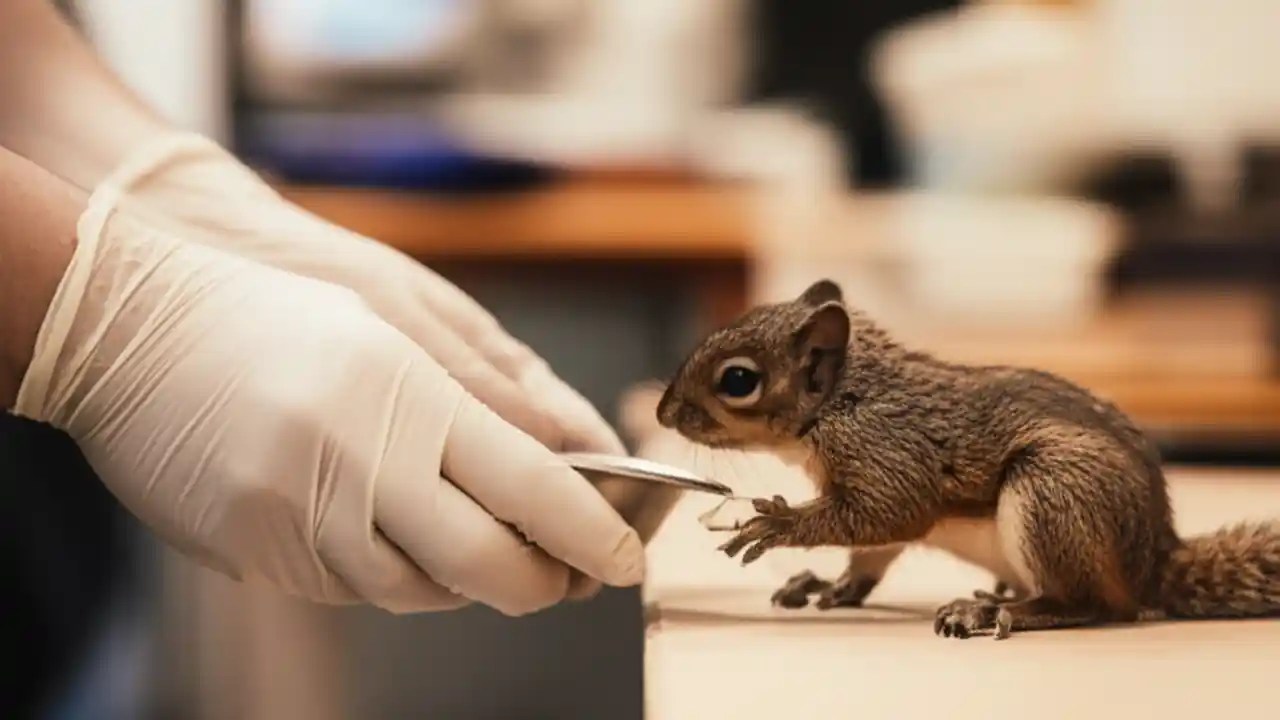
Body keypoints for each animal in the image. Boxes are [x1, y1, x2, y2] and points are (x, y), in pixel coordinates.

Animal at [656, 279, 1280, 639]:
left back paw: (1005, 612)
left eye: (739, 380)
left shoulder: (889, 452)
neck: (844, 400)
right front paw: (831, 584)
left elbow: (892, 515)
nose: (663, 414)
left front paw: (780, 523)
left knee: (1101, 605)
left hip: (1056, 490)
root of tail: (1153, 560)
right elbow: (874, 548)